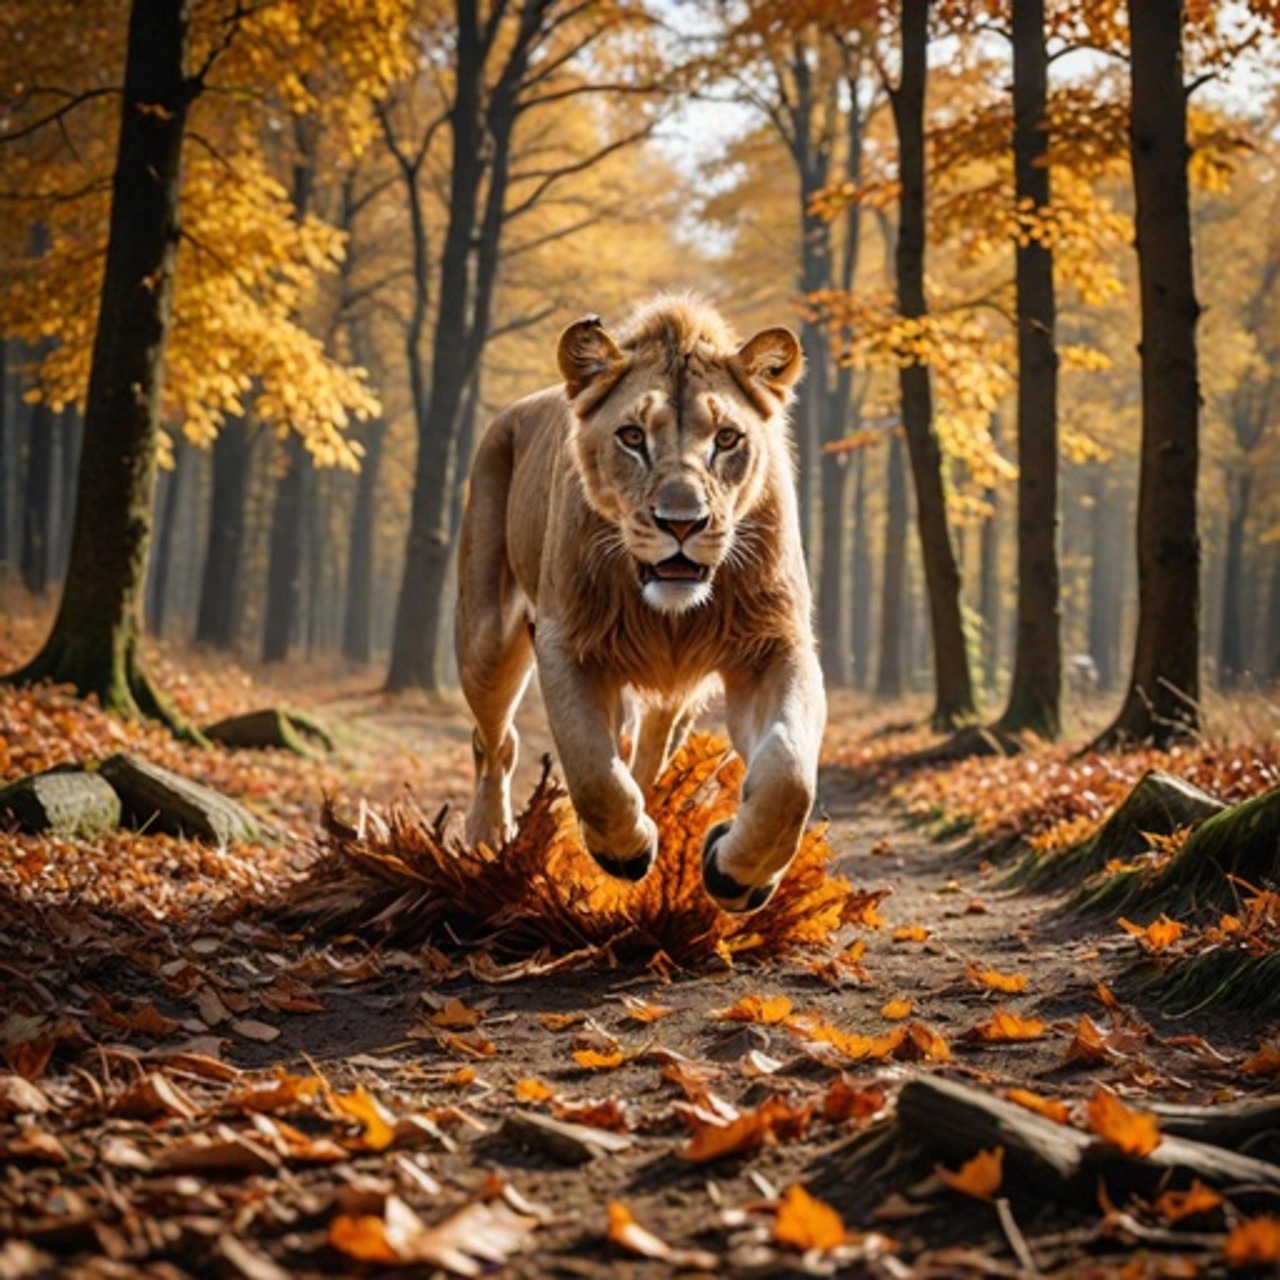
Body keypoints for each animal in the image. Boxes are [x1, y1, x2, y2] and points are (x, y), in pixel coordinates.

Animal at [455, 294, 826, 912]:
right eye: (631, 436)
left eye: (727, 439)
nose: (682, 523)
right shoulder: (566, 641)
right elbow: (592, 768)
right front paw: (622, 851)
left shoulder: (774, 645)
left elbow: (790, 773)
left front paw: (738, 874)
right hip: (486, 641)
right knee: (496, 741)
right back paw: (487, 836)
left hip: (676, 700)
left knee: (647, 750)